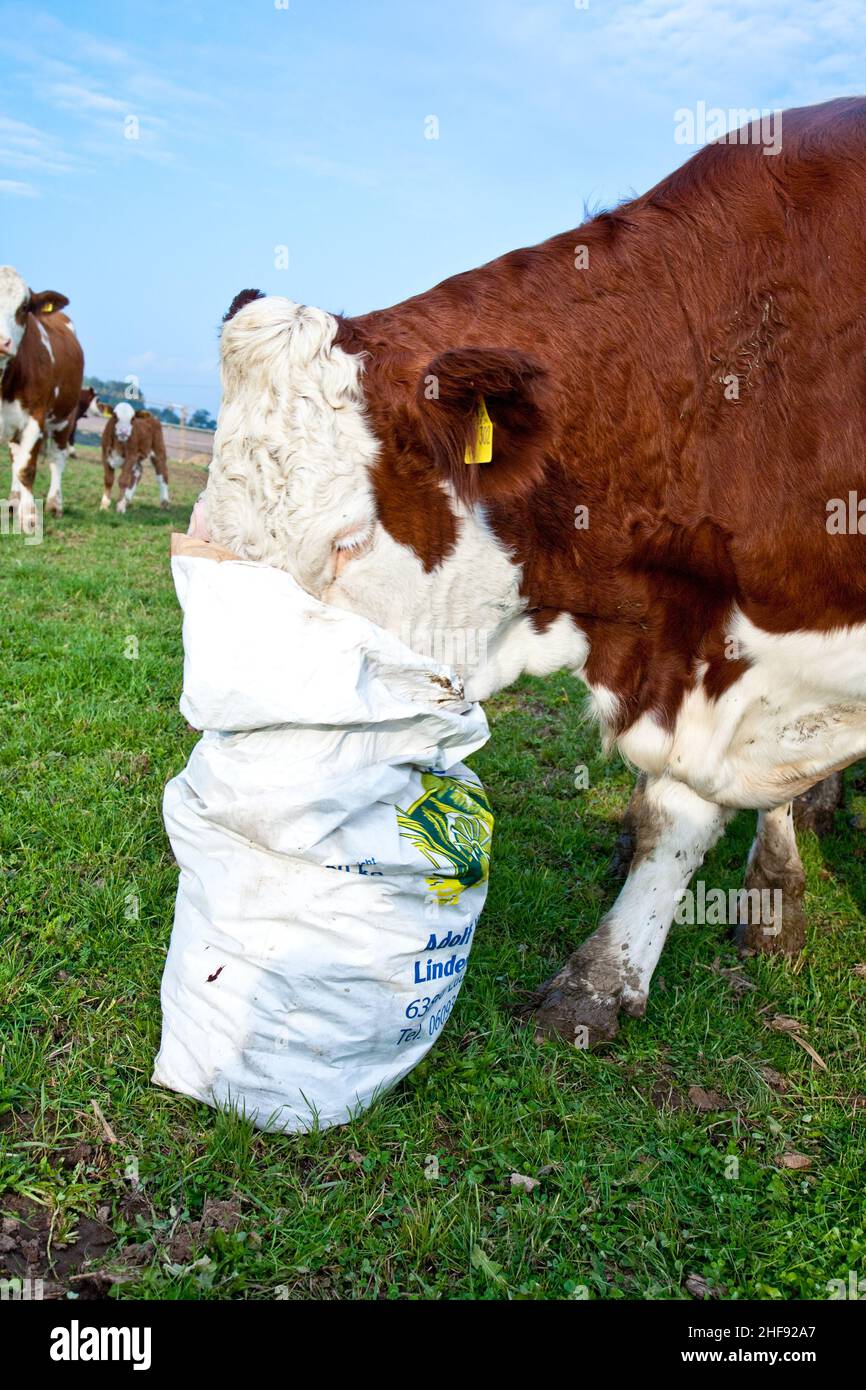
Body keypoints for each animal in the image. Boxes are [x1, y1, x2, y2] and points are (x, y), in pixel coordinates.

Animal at [0, 265, 84, 524]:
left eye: (24, 307)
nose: (2, 342)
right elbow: (18, 464)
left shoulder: (34, 419)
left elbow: (27, 469)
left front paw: (29, 518)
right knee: (15, 456)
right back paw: (14, 501)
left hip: (64, 418)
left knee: (57, 458)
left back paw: (55, 504)